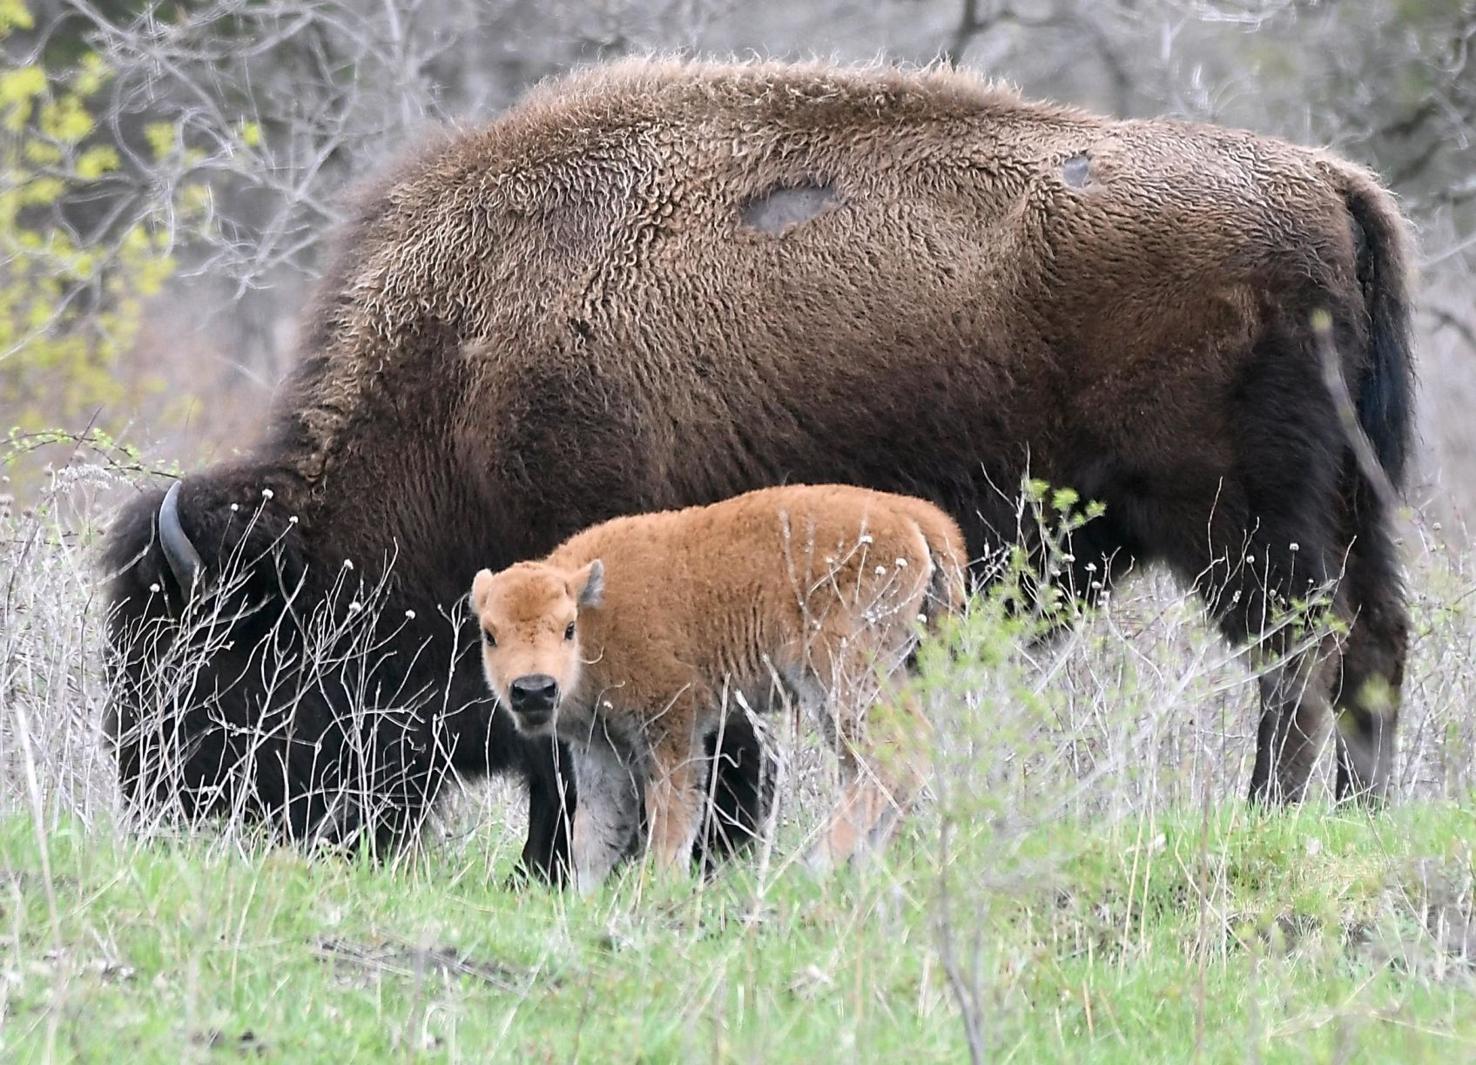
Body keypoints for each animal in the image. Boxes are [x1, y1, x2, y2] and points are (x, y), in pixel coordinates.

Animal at [104, 58, 1414, 878]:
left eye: (207, 656)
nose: (157, 793)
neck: (464, 369)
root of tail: (1327, 182)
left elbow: (613, 755)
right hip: (1348, 513)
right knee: (1373, 652)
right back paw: (1359, 821)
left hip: (1236, 524)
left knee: (1298, 660)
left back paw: (1263, 817)